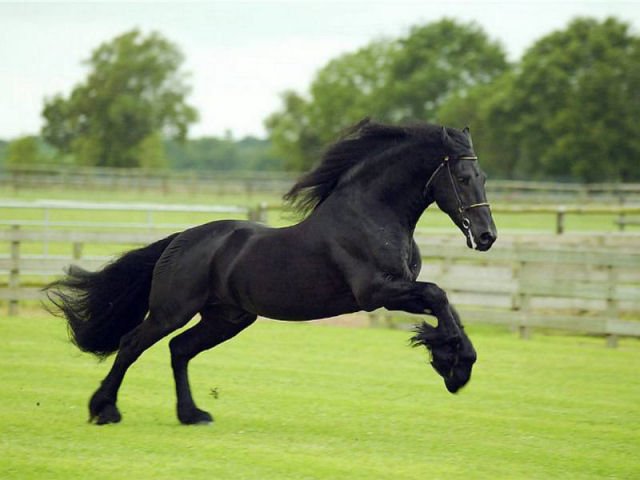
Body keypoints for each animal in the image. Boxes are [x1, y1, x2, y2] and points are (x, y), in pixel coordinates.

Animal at [46, 119, 497, 425]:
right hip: (171, 311)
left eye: (483, 176)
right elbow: (438, 295)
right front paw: (453, 364)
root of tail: (180, 241)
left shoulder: (401, 288)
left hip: (228, 318)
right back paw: (104, 410)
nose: (487, 236)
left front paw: (454, 362)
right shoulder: (378, 293)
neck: (372, 215)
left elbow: (447, 307)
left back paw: (193, 414)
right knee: (131, 344)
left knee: (179, 349)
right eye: (462, 177)